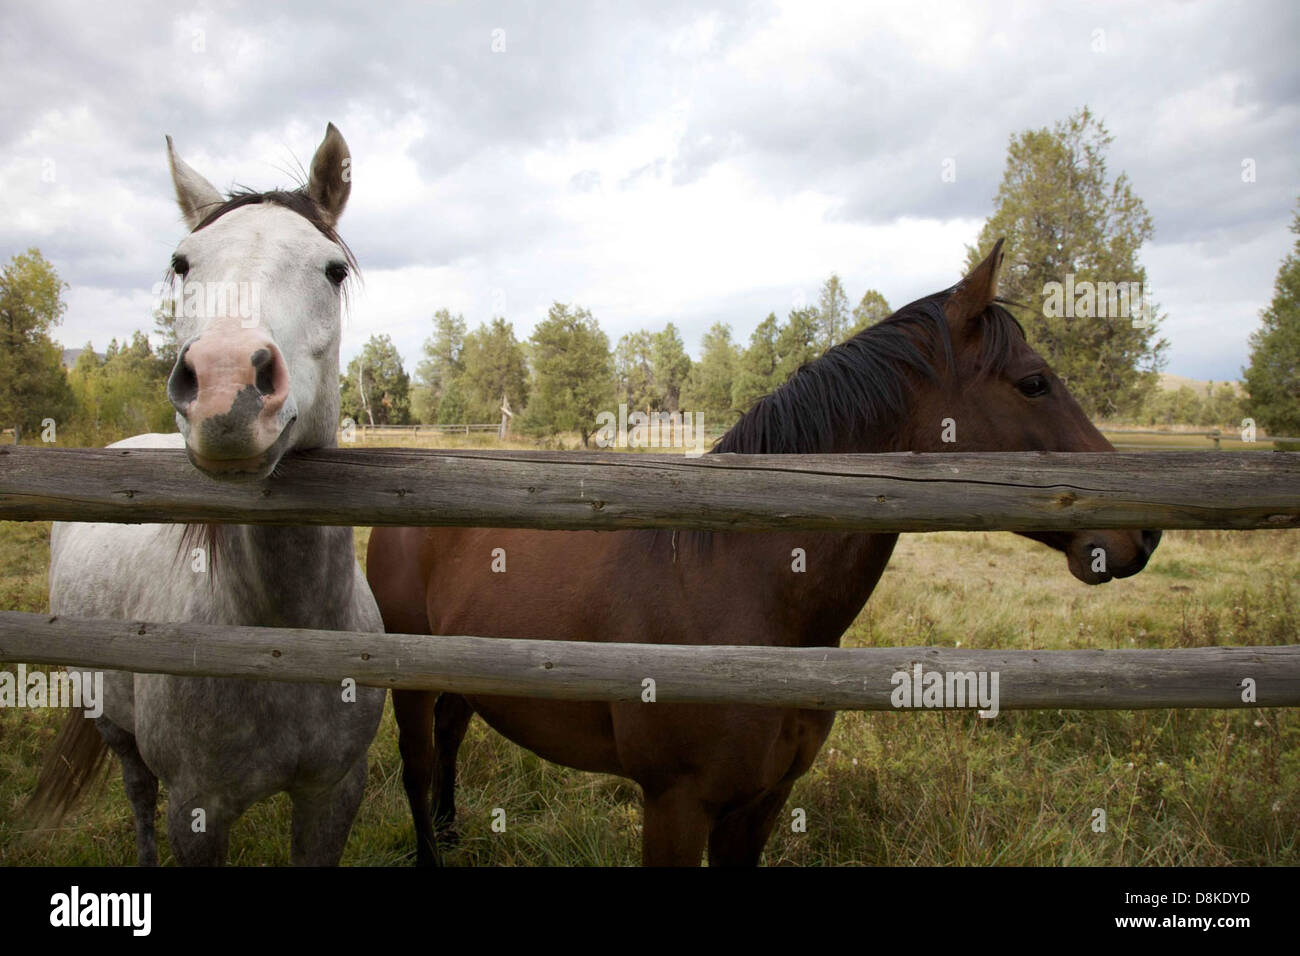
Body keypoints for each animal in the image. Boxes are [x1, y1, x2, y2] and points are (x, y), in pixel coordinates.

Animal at [29, 124, 386, 866]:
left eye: (333, 271)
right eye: (182, 263)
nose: (226, 385)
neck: (279, 635)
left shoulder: (335, 792)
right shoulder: (196, 809)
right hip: (112, 722)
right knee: (136, 790)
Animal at [366, 240, 1162, 866]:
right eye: (1034, 382)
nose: (1145, 533)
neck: (745, 593)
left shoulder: (763, 802)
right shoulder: (675, 805)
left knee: (451, 743)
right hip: (409, 683)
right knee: (418, 767)